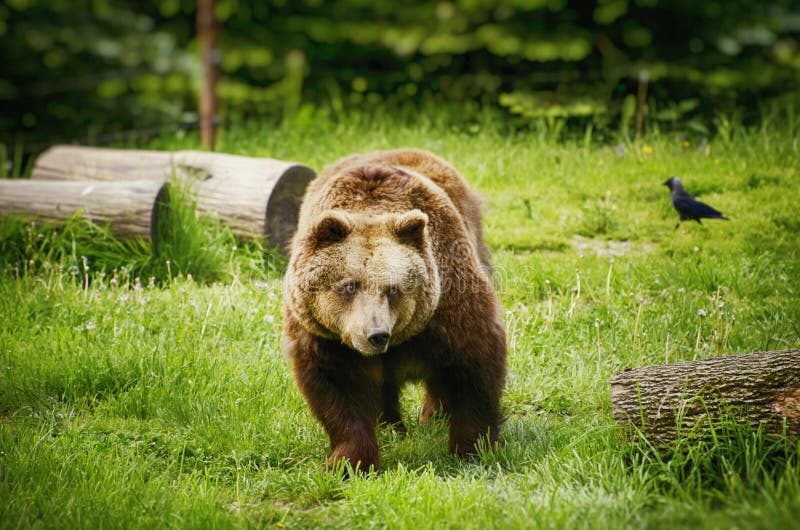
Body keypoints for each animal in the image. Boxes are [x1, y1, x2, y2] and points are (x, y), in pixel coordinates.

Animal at [282, 148, 507, 471]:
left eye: (394, 289)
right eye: (349, 286)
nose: (376, 334)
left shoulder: (448, 303)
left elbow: (474, 365)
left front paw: (472, 449)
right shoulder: (324, 337)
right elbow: (336, 391)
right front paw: (348, 462)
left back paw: (431, 416)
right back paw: (392, 425)